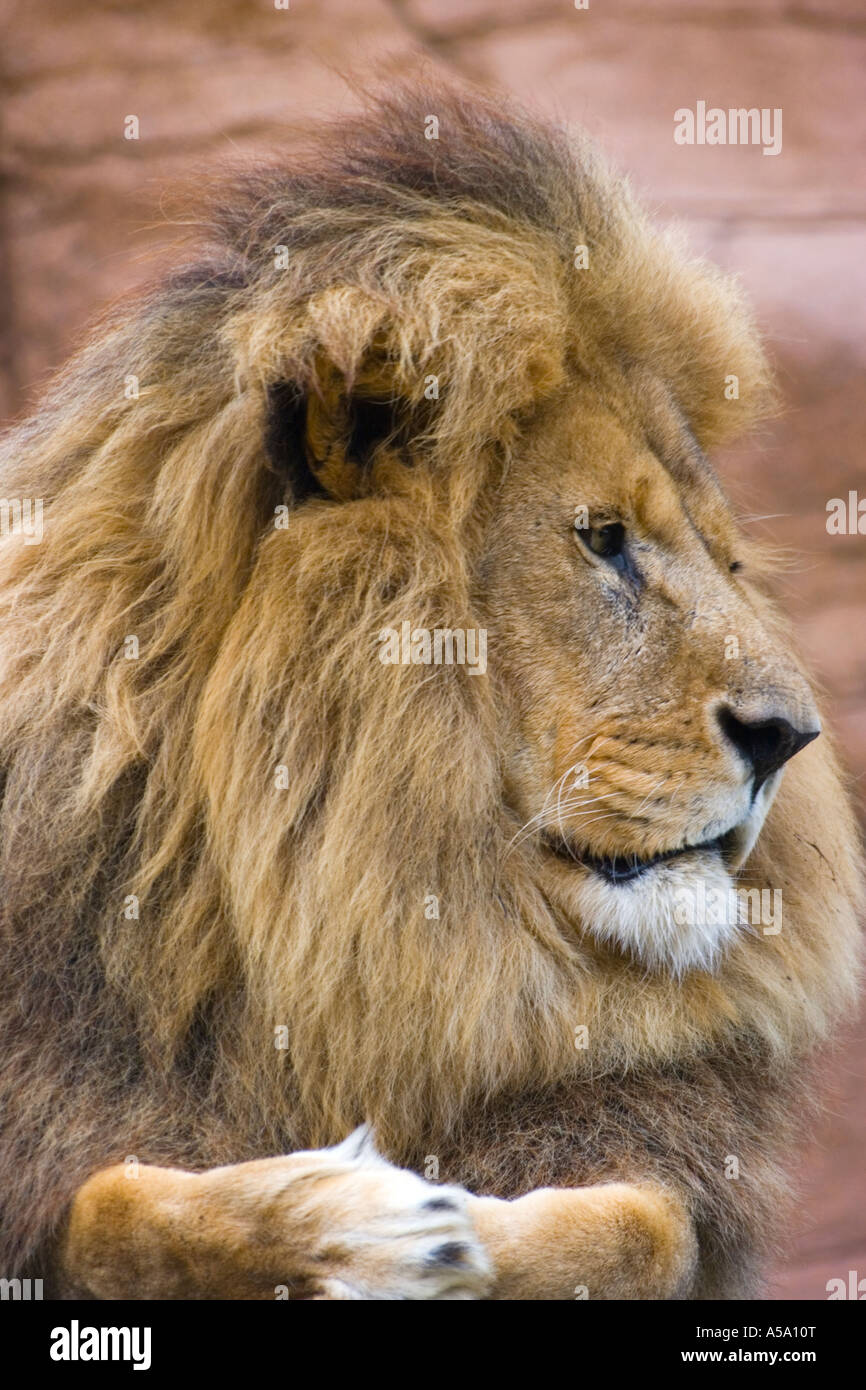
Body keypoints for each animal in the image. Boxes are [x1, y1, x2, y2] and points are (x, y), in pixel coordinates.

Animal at [0, 85, 861, 1301]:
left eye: (731, 564)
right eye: (603, 540)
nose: (789, 736)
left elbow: (643, 1226)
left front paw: (457, 1230)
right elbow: (109, 1210)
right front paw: (355, 1222)